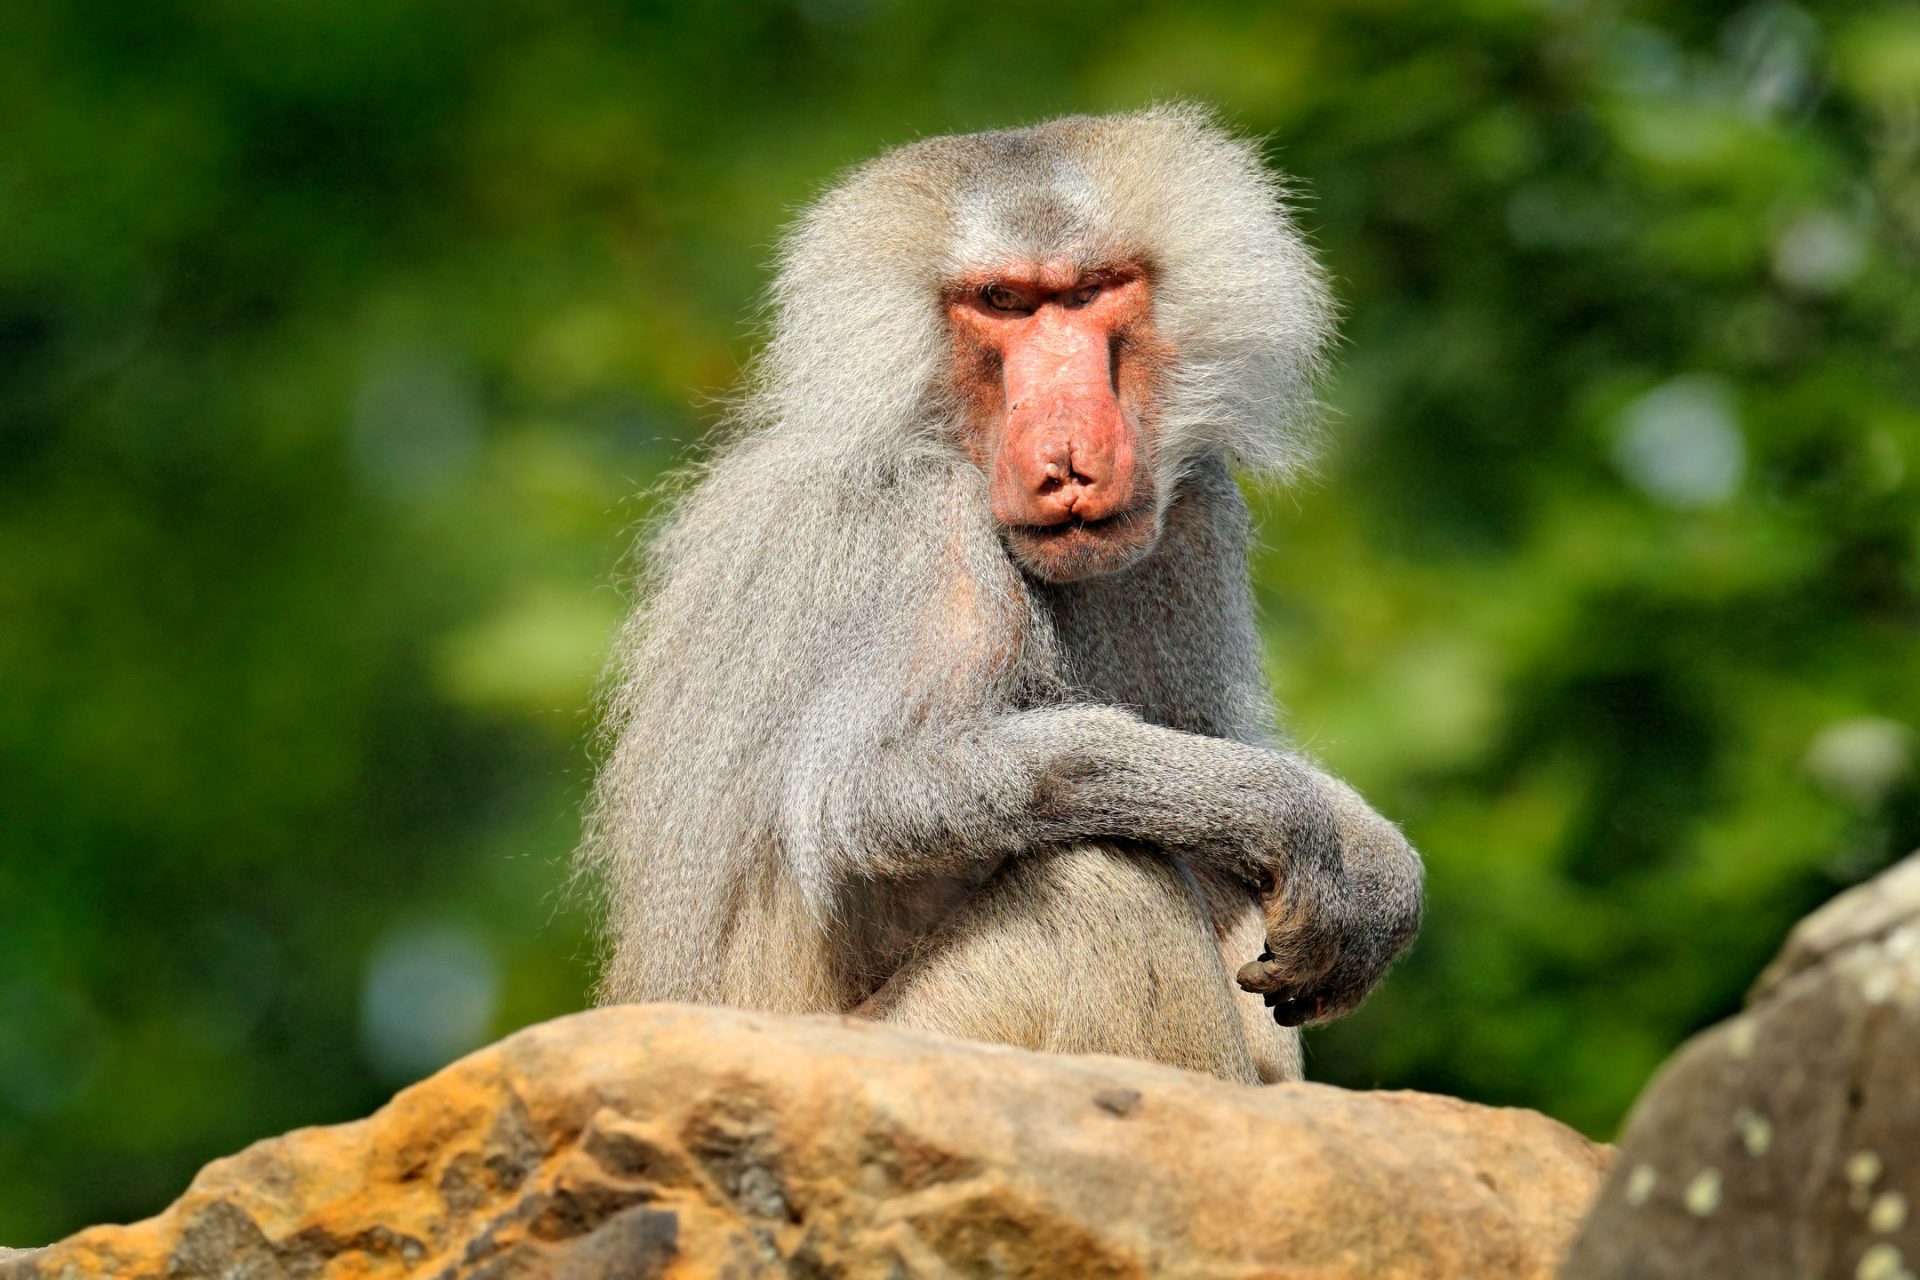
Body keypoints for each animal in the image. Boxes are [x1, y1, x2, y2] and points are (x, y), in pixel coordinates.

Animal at [578, 104, 1423, 1084]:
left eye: (1090, 292)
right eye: (1004, 303)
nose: (1065, 458)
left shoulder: (1196, 513)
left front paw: (1367, 853)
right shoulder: (925, 523)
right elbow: (870, 792)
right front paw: (1293, 815)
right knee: (1103, 886)